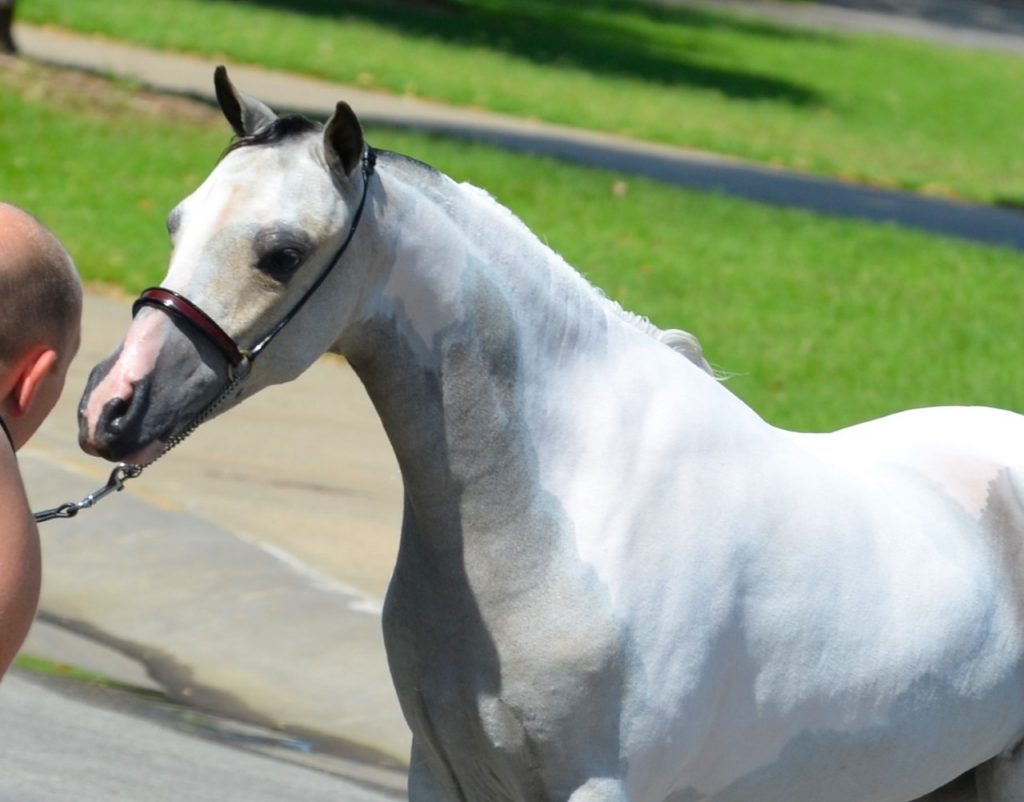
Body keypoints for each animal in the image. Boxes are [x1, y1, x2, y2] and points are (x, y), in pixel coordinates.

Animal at [78, 67, 1024, 802]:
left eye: (280, 251)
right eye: (178, 222)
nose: (109, 406)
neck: (553, 517)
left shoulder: (602, 787)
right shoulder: (442, 772)